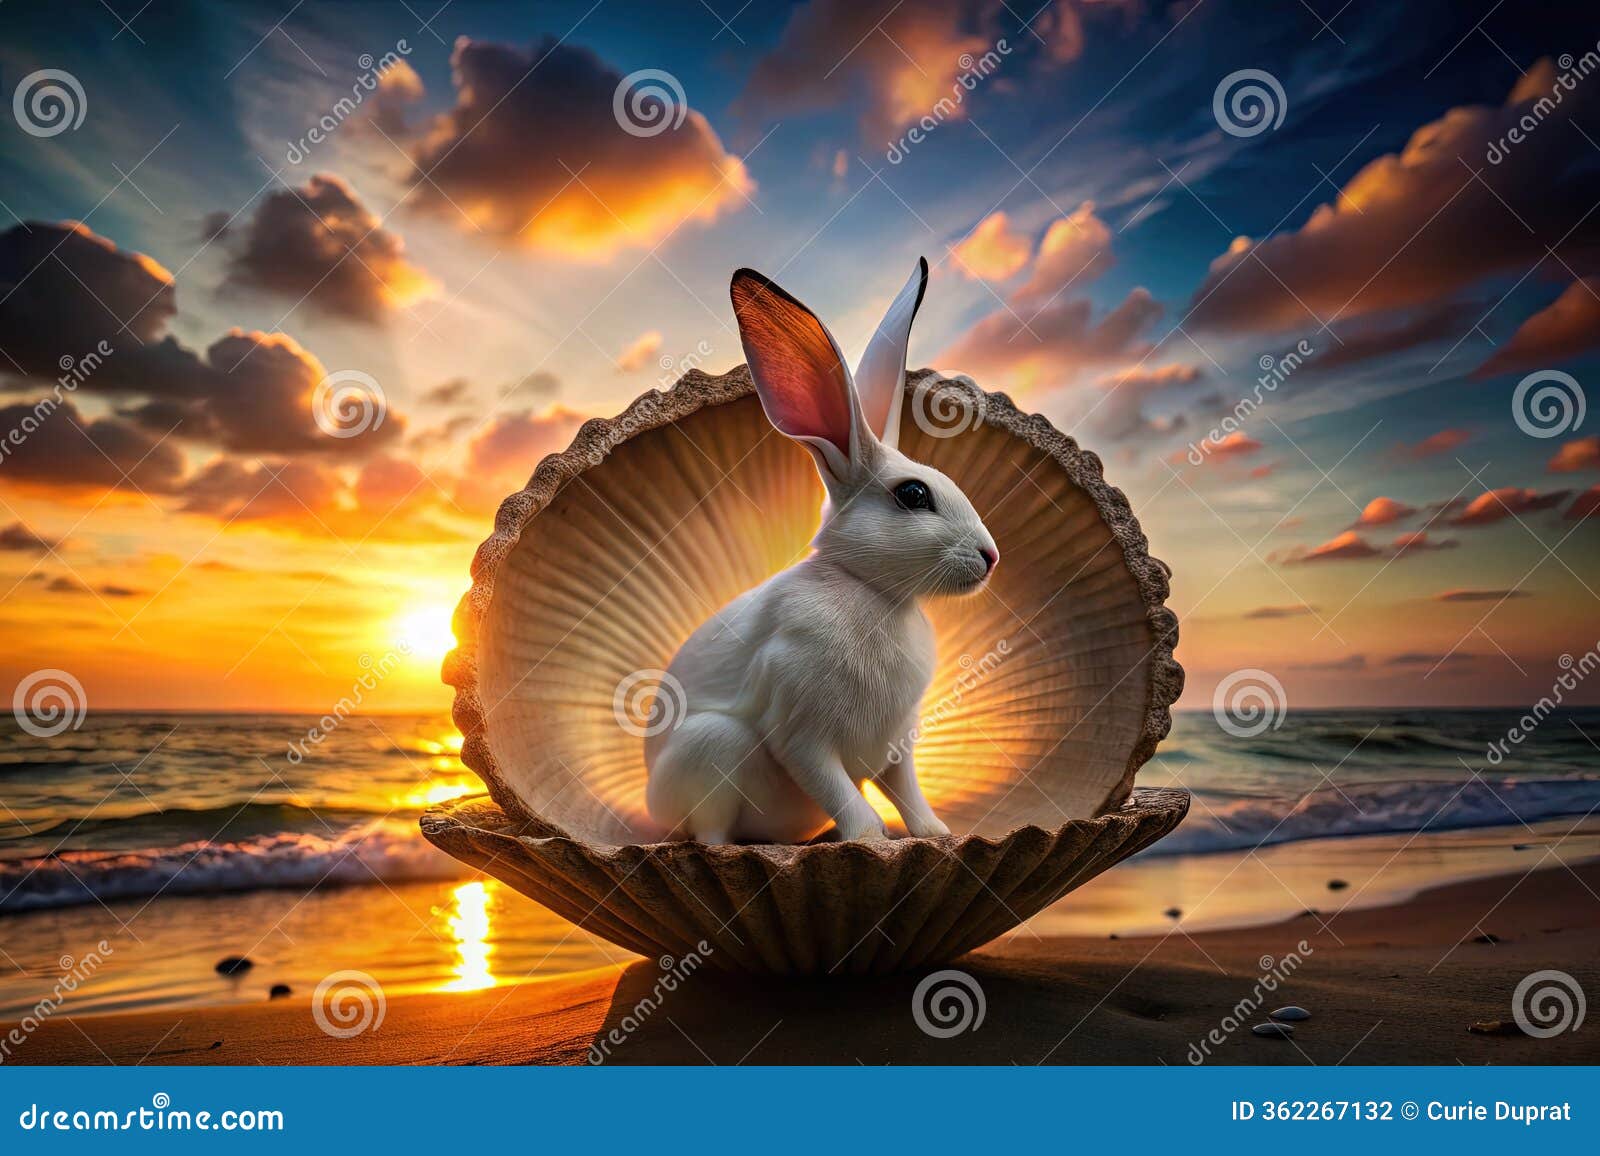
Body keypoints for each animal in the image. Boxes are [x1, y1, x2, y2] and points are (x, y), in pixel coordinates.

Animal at [643, 259, 998, 844]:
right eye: (913, 494)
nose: (991, 556)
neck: (871, 591)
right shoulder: (801, 734)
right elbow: (843, 793)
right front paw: (869, 839)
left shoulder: (897, 742)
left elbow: (908, 791)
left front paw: (936, 833)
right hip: (711, 747)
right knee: (709, 829)